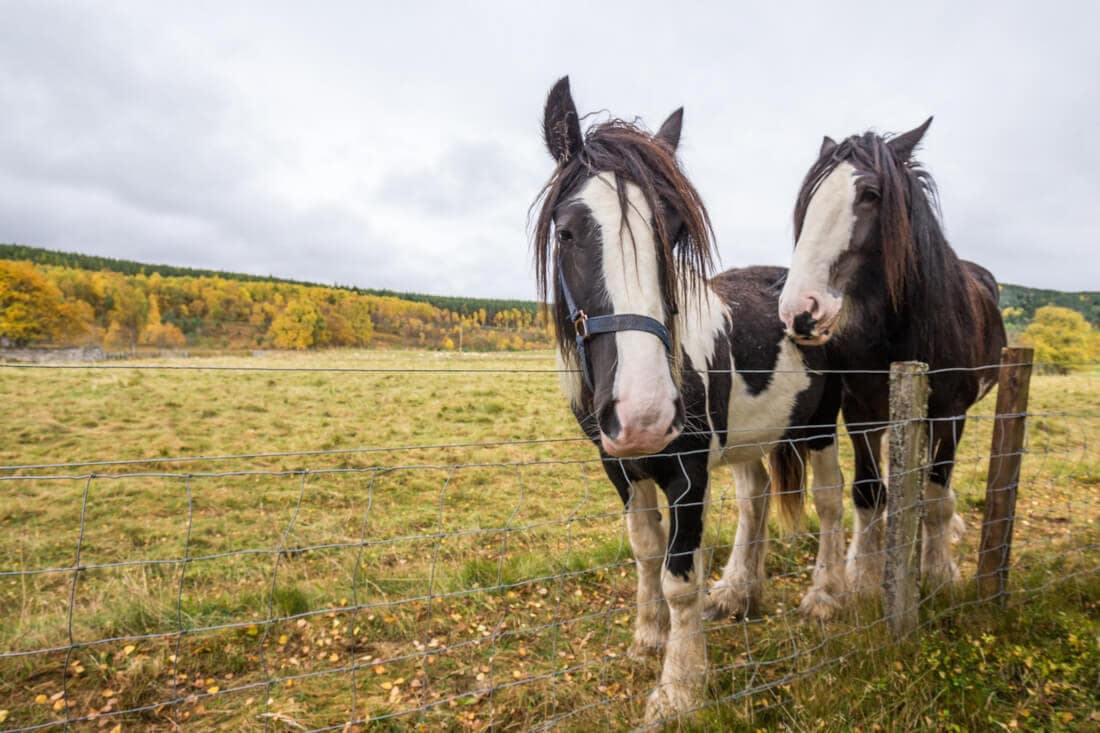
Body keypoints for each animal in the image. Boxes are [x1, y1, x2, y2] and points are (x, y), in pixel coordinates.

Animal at [533, 76, 845, 723]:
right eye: (567, 231)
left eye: (674, 231)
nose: (646, 414)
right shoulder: (621, 466)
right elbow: (646, 551)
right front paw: (648, 636)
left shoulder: (689, 469)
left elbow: (681, 577)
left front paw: (680, 687)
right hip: (755, 436)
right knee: (756, 500)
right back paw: (740, 592)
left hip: (821, 426)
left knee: (831, 503)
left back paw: (827, 596)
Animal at [777, 119, 1007, 593]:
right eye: (810, 197)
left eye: (870, 194)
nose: (800, 313)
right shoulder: (860, 414)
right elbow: (868, 491)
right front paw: (863, 575)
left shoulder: (950, 413)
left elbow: (936, 491)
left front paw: (938, 571)